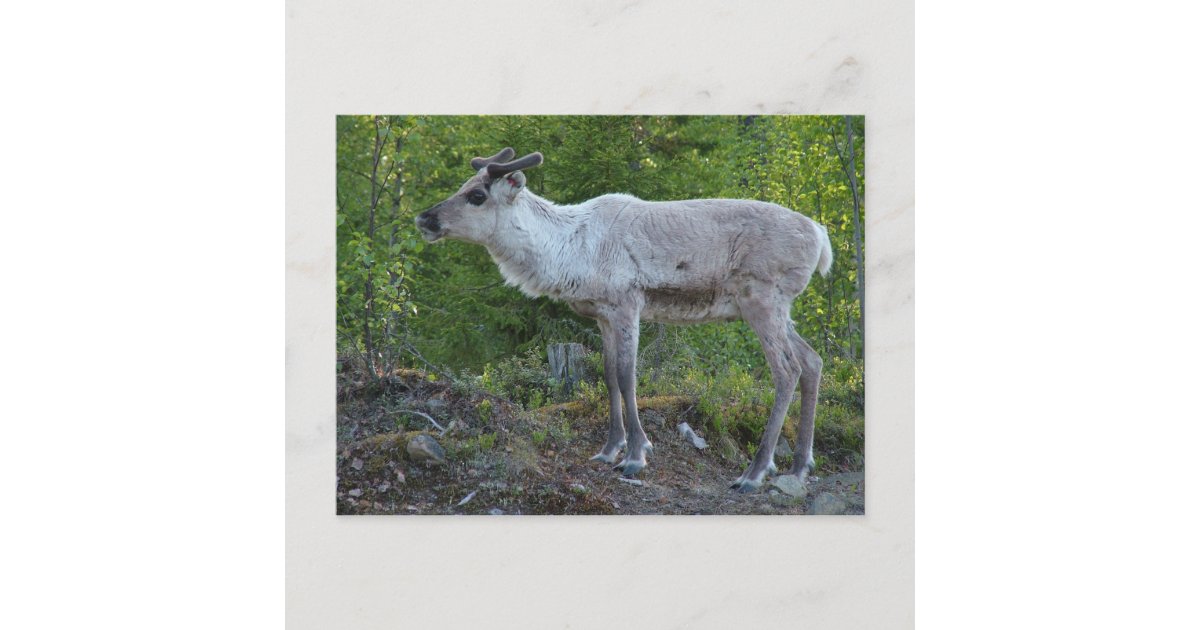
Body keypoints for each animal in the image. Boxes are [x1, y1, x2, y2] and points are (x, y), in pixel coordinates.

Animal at [416, 148, 833, 492]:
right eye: (463, 185)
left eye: (477, 196)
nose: (424, 218)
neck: (568, 251)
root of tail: (822, 237)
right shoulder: (602, 313)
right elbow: (608, 374)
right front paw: (609, 449)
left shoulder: (627, 303)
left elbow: (628, 374)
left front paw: (635, 455)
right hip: (777, 308)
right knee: (813, 360)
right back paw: (799, 466)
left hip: (761, 299)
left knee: (787, 369)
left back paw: (755, 472)